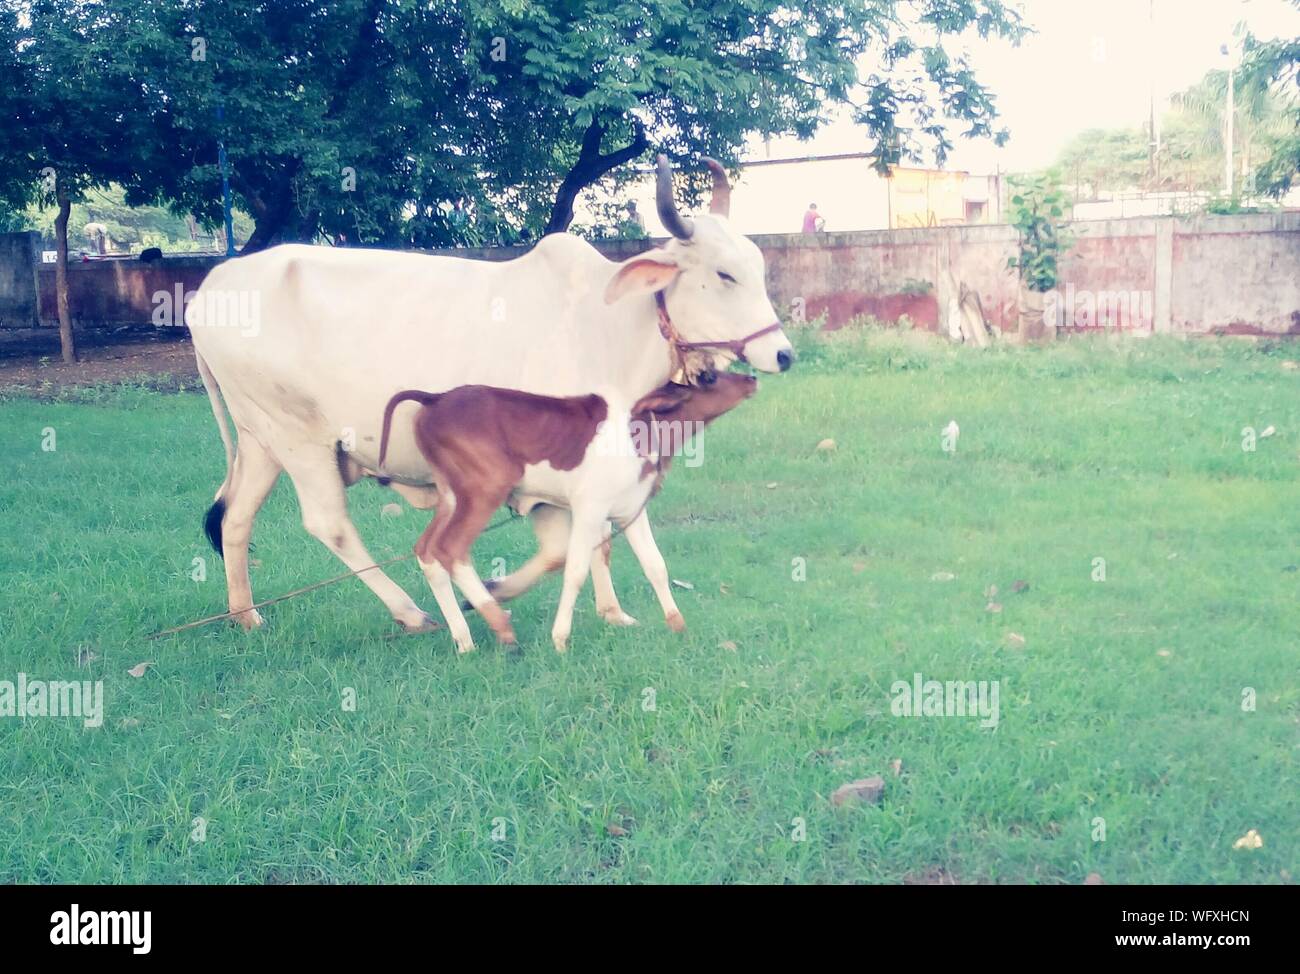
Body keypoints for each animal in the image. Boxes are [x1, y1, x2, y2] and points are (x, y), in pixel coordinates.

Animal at [377, 372, 758, 652]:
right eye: (709, 376)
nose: (752, 378)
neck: (643, 434)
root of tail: (436, 398)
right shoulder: (589, 509)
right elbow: (575, 570)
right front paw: (560, 639)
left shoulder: (632, 511)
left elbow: (655, 565)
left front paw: (677, 625)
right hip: (484, 488)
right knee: (450, 548)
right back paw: (501, 627)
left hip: (452, 496)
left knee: (426, 549)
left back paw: (465, 640)